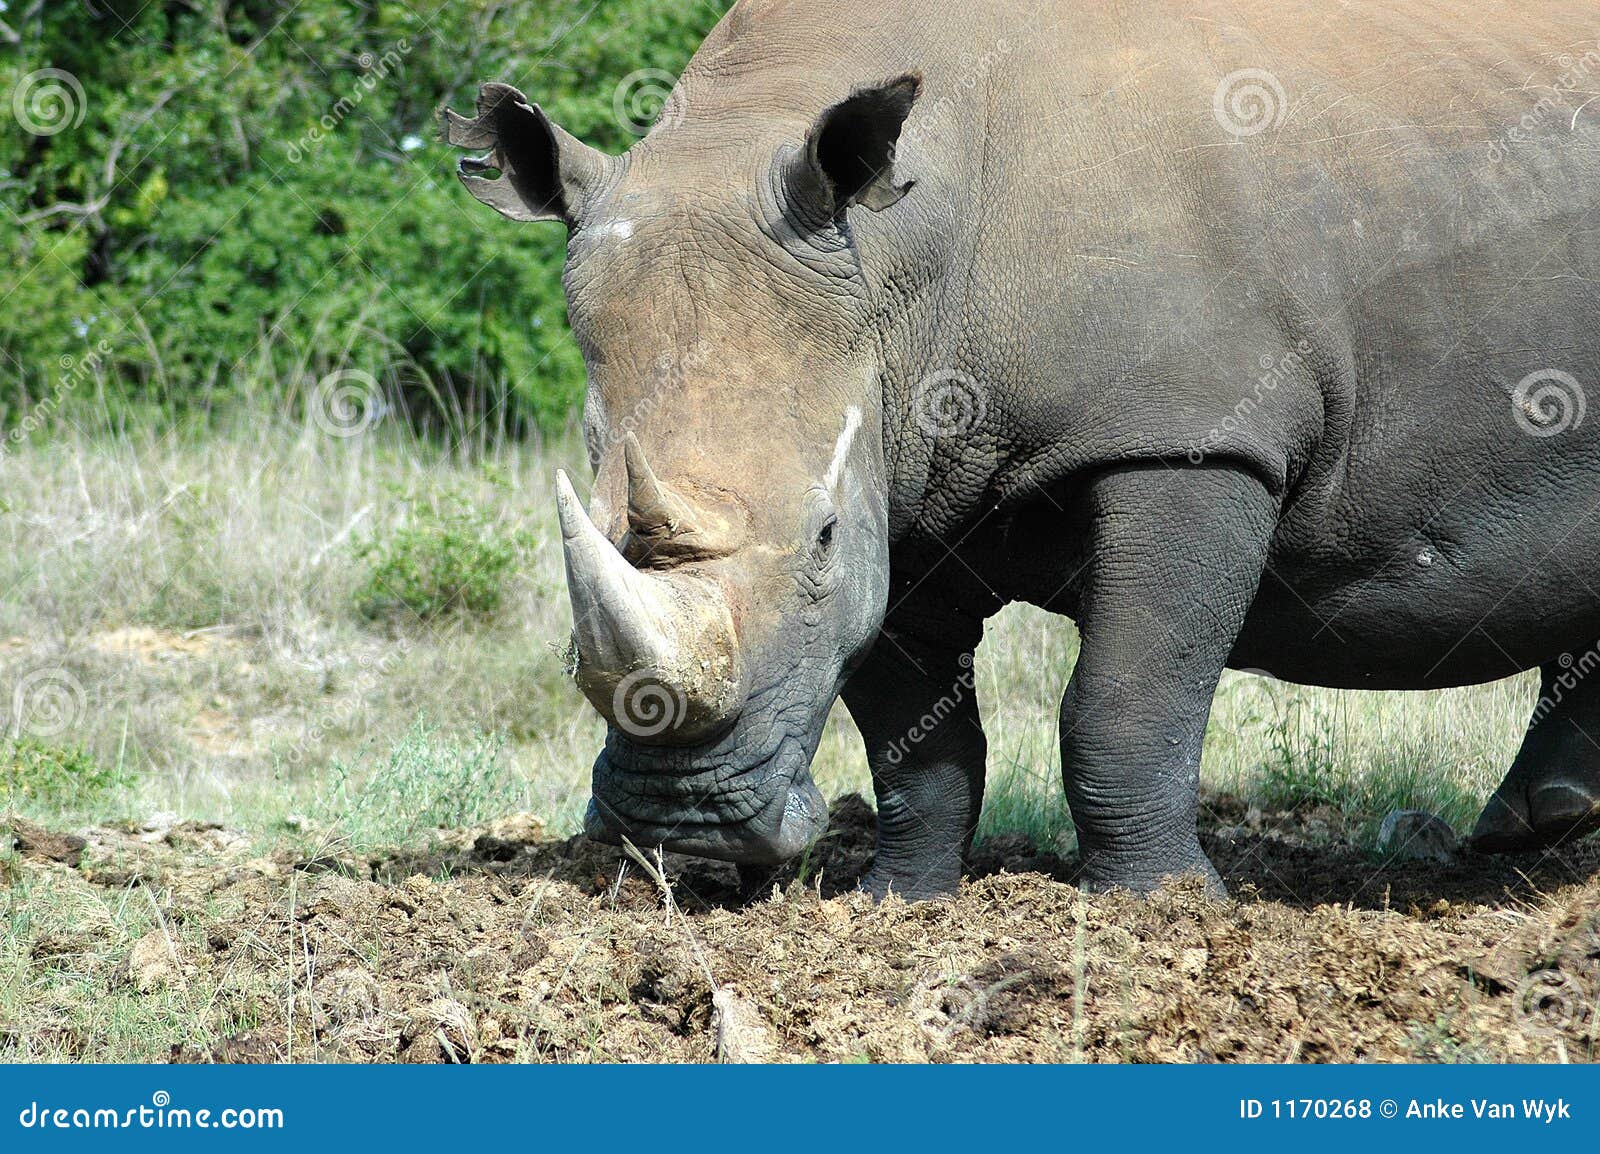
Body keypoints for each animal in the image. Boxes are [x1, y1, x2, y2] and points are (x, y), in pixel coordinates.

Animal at [444, 0, 1600, 898]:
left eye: (822, 539)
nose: (675, 822)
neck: (897, 257)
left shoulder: (1186, 433)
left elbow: (1127, 693)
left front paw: (1164, 907)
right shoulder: (900, 460)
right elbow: (911, 725)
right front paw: (898, 901)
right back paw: (1537, 825)